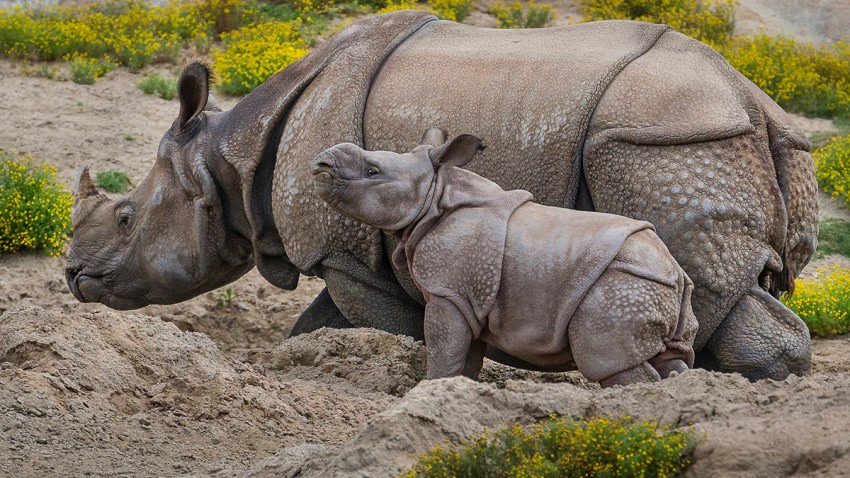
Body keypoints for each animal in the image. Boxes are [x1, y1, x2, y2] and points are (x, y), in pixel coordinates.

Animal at [311, 130, 699, 386]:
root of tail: (675, 275)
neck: (434, 194)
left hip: (622, 284)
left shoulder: (448, 291)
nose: (321, 161)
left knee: (612, 362)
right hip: (646, 282)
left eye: (372, 172)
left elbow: (443, 348)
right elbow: (464, 356)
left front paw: (428, 390)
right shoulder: (468, 296)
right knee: (671, 361)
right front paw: (455, 393)